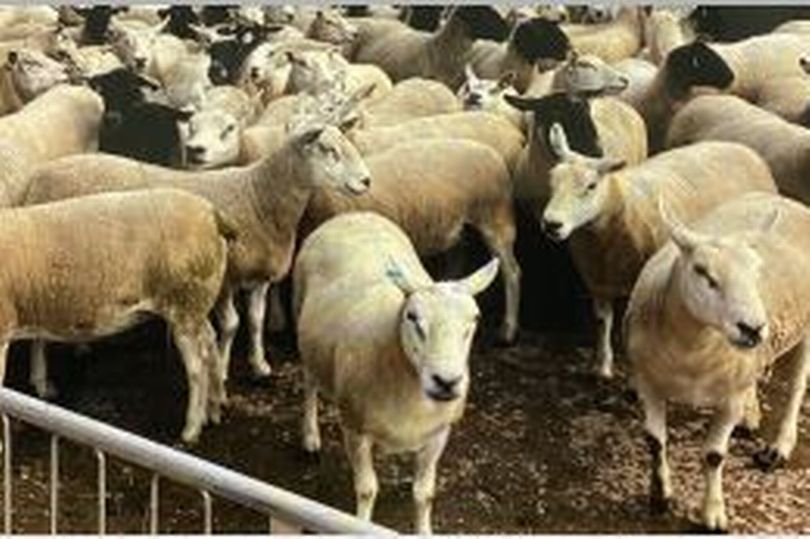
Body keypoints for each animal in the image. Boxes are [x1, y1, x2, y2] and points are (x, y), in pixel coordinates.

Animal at [0, 188, 229, 443]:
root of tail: (211, 213)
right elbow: (38, 341)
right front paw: (41, 385)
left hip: (184, 305)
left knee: (197, 367)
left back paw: (191, 428)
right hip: (196, 305)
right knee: (210, 341)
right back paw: (215, 406)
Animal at [23, 117, 372, 388]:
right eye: (329, 151)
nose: (366, 181)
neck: (259, 197)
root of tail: (37, 178)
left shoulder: (259, 277)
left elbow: (255, 321)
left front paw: (259, 365)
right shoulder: (225, 278)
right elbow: (231, 325)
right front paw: (223, 371)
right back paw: (41, 381)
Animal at [294, 211, 500, 533]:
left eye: (475, 318)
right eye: (412, 316)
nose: (447, 382)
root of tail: (353, 215)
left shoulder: (438, 434)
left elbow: (424, 494)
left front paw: (424, 529)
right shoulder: (354, 429)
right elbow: (367, 489)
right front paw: (359, 524)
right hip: (301, 320)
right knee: (310, 385)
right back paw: (310, 436)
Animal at [542, 127, 776, 378]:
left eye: (591, 186)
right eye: (552, 180)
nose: (551, 224)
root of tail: (742, 147)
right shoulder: (597, 281)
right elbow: (603, 321)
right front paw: (603, 366)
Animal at [625, 191, 810, 531]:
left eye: (757, 273)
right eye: (702, 272)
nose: (753, 328)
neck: (692, 353)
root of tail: (783, 198)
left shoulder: (729, 399)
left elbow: (713, 456)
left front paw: (712, 512)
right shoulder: (648, 384)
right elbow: (655, 441)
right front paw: (660, 495)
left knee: (796, 387)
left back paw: (778, 448)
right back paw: (752, 417)